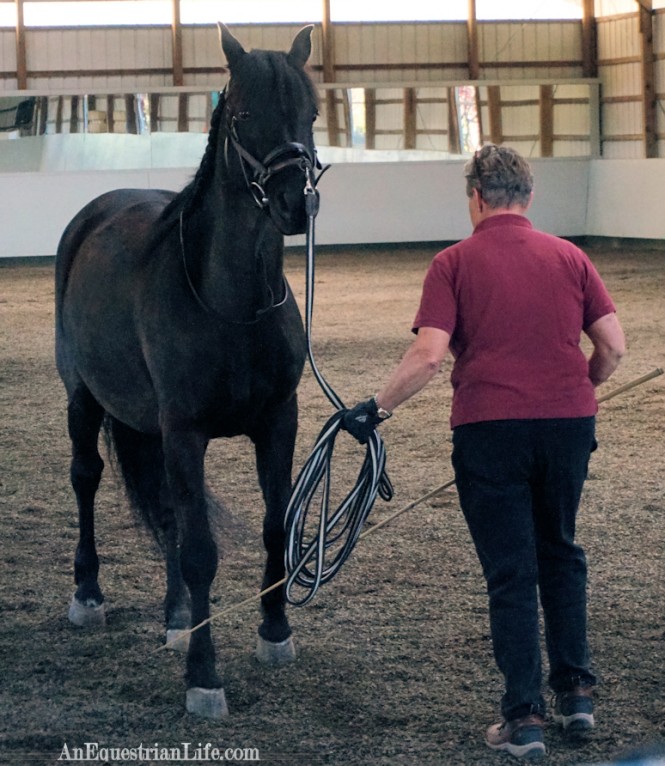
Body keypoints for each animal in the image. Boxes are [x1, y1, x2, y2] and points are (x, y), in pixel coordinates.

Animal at [54, 24, 322, 719]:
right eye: (246, 114)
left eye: (311, 115)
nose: (296, 204)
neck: (234, 303)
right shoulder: (185, 432)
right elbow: (201, 551)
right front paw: (204, 677)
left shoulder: (277, 423)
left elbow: (274, 524)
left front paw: (274, 632)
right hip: (83, 400)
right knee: (87, 479)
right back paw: (88, 596)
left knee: (171, 514)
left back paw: (178, 617)